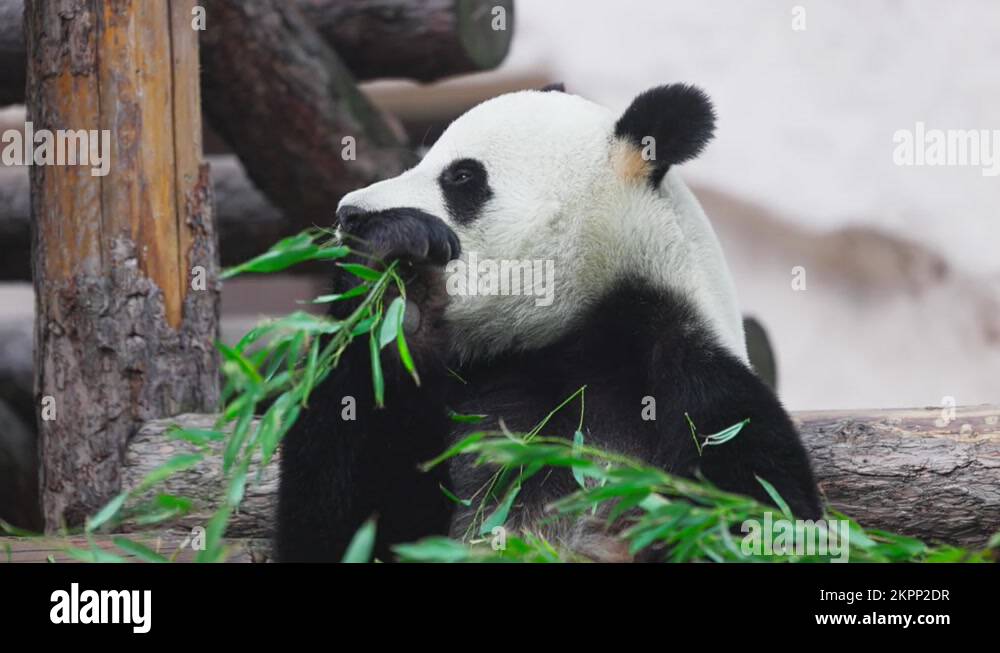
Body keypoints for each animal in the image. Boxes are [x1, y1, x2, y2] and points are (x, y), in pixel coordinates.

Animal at [276, 83, 821, 562]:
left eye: (462, 178)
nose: (349, 214)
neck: (570, 337)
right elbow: (347, 526)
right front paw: (394, 273)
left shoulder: (701, 392)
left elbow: (755, 514)